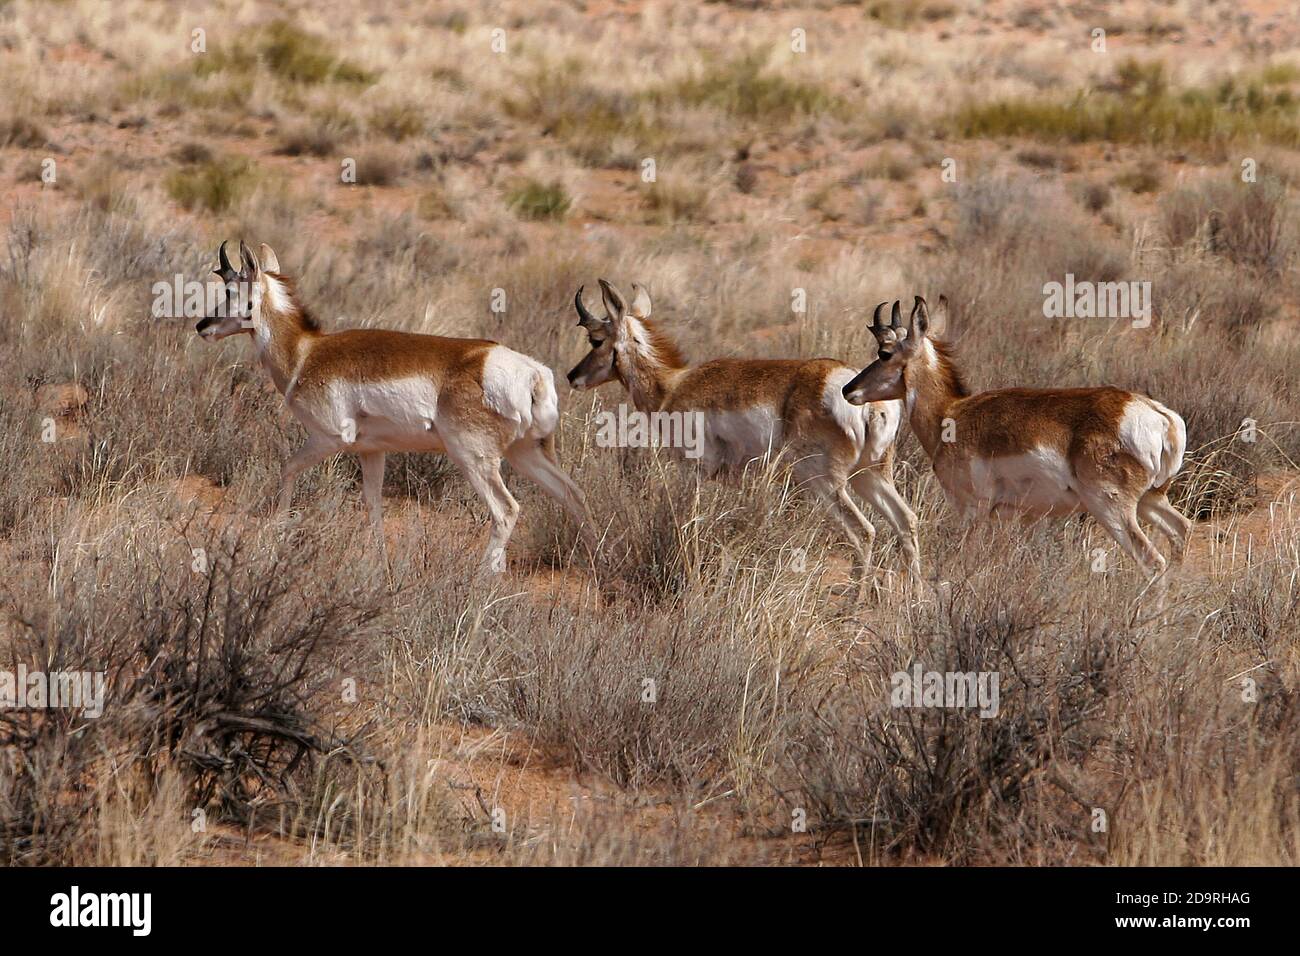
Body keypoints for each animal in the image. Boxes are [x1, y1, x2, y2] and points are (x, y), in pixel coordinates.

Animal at [195, 240, 594, 569]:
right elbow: (373, 505)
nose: (202, 326)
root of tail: (532, 373)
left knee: (506, 510)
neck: (306, 353)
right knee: (573, 495)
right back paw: (590, 561)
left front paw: (275, 534)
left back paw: (484, 580)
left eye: (230, 289)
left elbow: (287, 469)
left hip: (474, 459)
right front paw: (380, 564)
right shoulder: (372, 452)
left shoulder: (328, 439)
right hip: (527, 453)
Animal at [567, 279, 921, 581]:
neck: (673, 384)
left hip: (824, 483)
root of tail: (850, 389)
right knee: (906, 520)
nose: (572, 376)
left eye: (596, 340)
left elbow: (687, 520)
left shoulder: (695, 471)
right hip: (868, 475)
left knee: (864, 531)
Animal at [842, 296, 1190, 576]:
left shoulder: (974, 511)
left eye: (885, 353)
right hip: (1151, 501)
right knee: (1181, 530)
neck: (951, 413)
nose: (848, 390)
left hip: (1111, 509)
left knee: (1153, 561)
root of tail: (1158, 415)